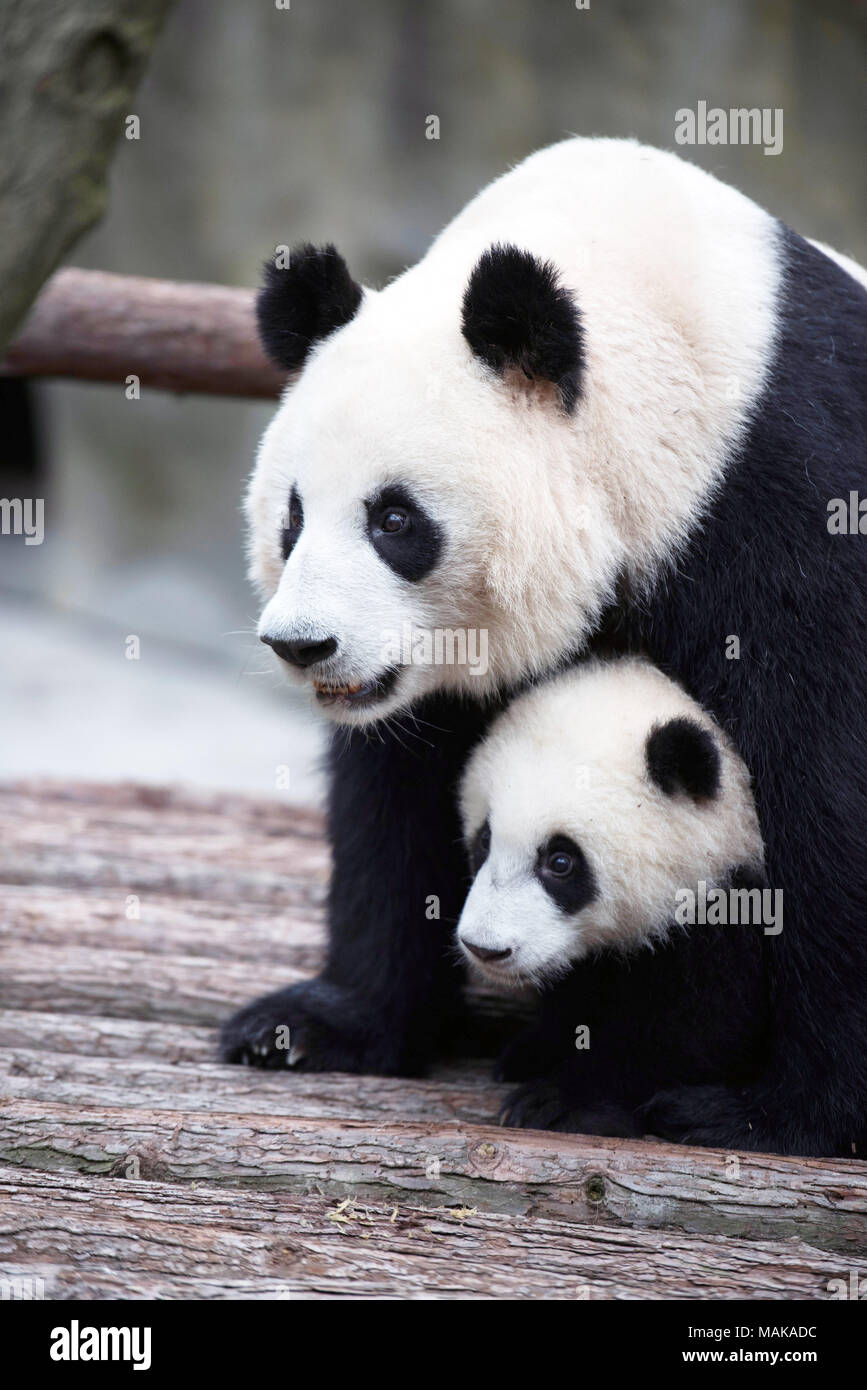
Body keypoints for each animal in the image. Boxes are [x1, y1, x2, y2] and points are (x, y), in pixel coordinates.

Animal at [455, 658, 770, 1140]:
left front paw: (557, 1101)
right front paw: (533, 1051)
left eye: (560, 862)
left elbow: (696, 1027)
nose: (484, 949)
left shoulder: (727, 906)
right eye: (484, 840)